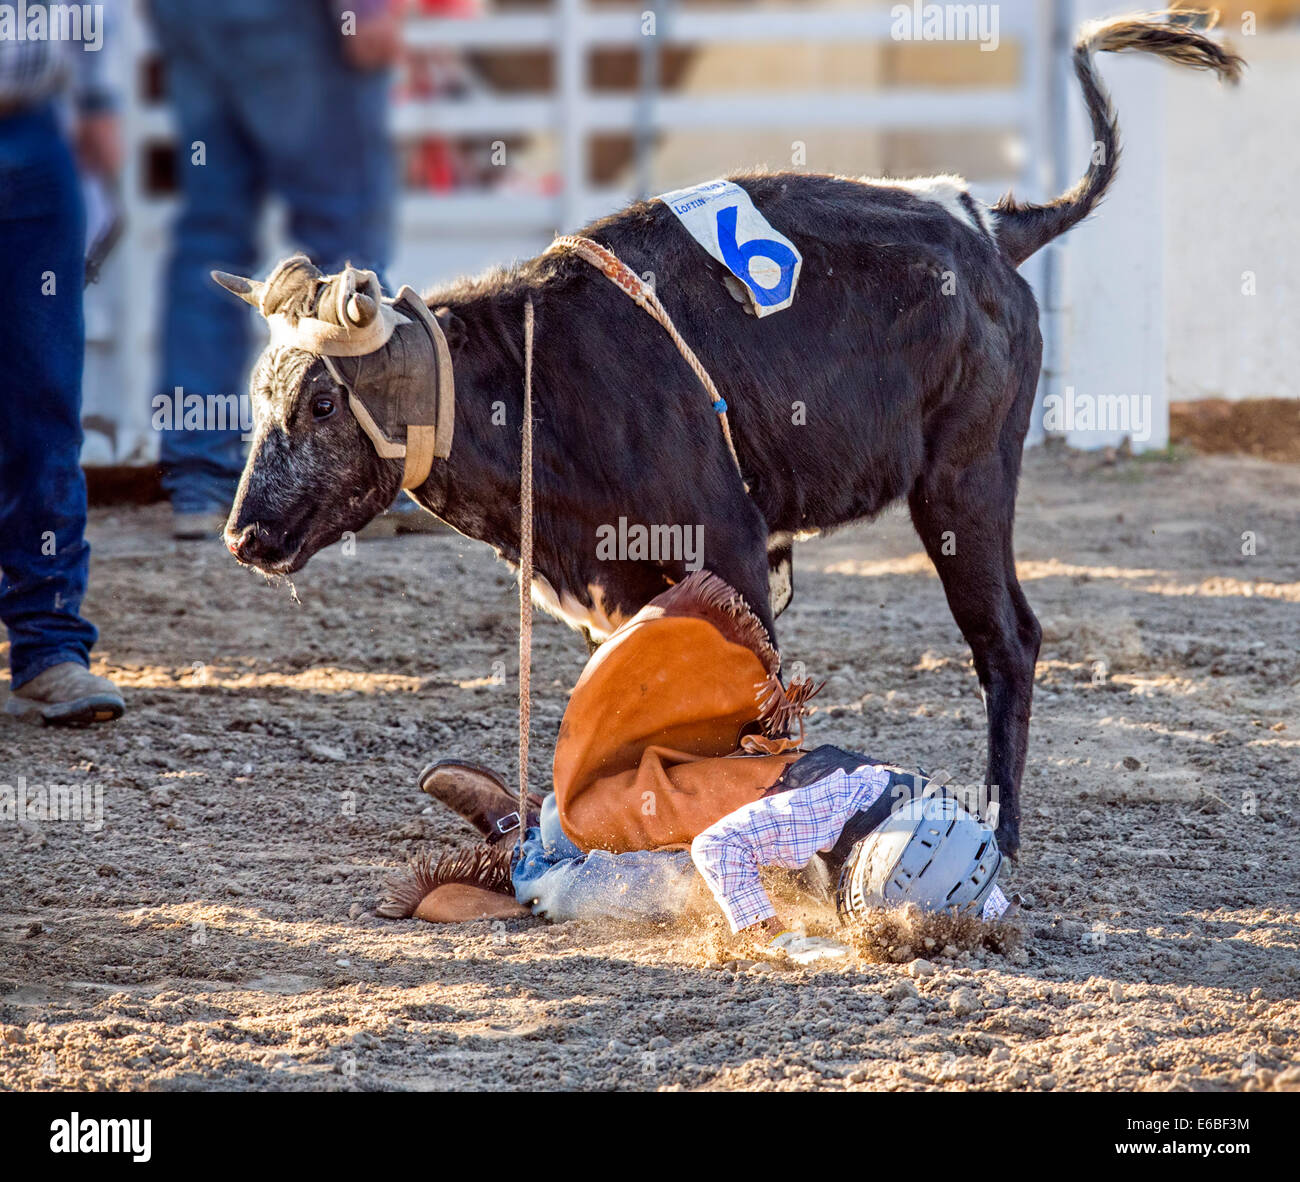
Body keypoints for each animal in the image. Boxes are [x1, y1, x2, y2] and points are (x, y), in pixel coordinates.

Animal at [216, 14, 1242, 856]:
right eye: (258, 400)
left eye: (319, 404)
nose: (243, 534)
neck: (538, 372)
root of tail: (985, 226)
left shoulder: (735, 552)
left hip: (967, 483)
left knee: (1010, 643)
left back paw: (1004, 827)